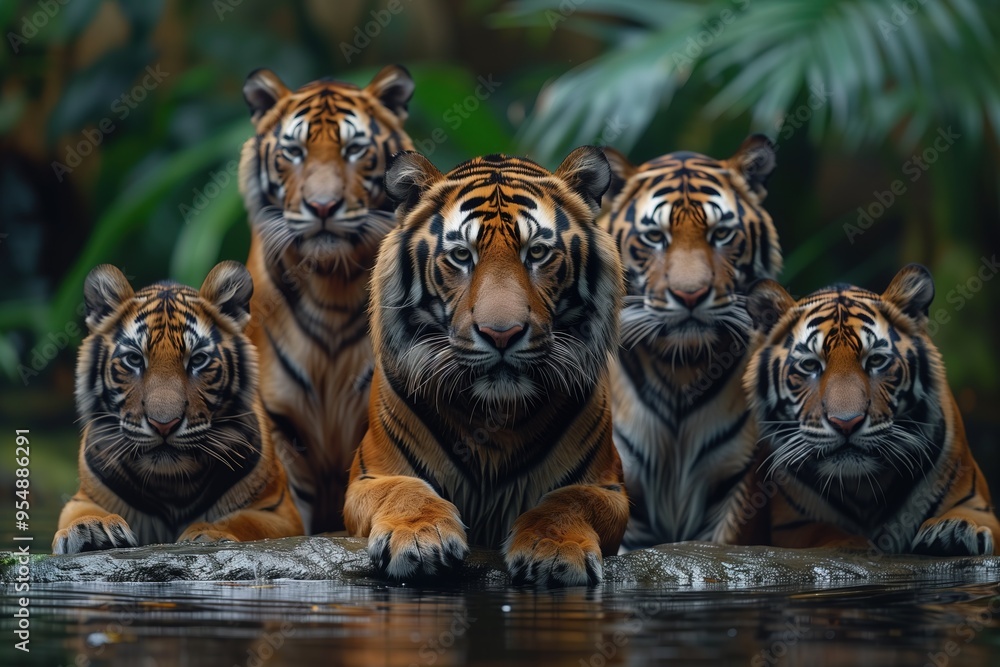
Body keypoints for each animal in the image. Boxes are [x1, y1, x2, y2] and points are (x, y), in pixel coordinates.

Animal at [53, 261, 303, 554]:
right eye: (134, 359)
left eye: (198, 360)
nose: (164, 425)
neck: (170, 483)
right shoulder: (82, 498)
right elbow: (80, 513)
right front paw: (92, 529)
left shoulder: (280, 511)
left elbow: (241, 520)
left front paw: (209, 533)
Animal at [343, 148, 630, 586]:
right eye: (462, 255)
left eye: (537, 253)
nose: (501, 334)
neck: (495, 416)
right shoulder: (368, 475)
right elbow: (404, 488)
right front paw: (418, 538)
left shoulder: (608, 487)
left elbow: (569, 498)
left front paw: (555, 549)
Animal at [739, 264, 1000, 555]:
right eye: (810, 365)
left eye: (875, 360)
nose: (846, 423)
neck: (862, 487)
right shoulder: (792, 525)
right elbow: (822, 531)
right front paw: (849, 545)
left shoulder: (976, 502)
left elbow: (970, 517)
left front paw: (954, 531)